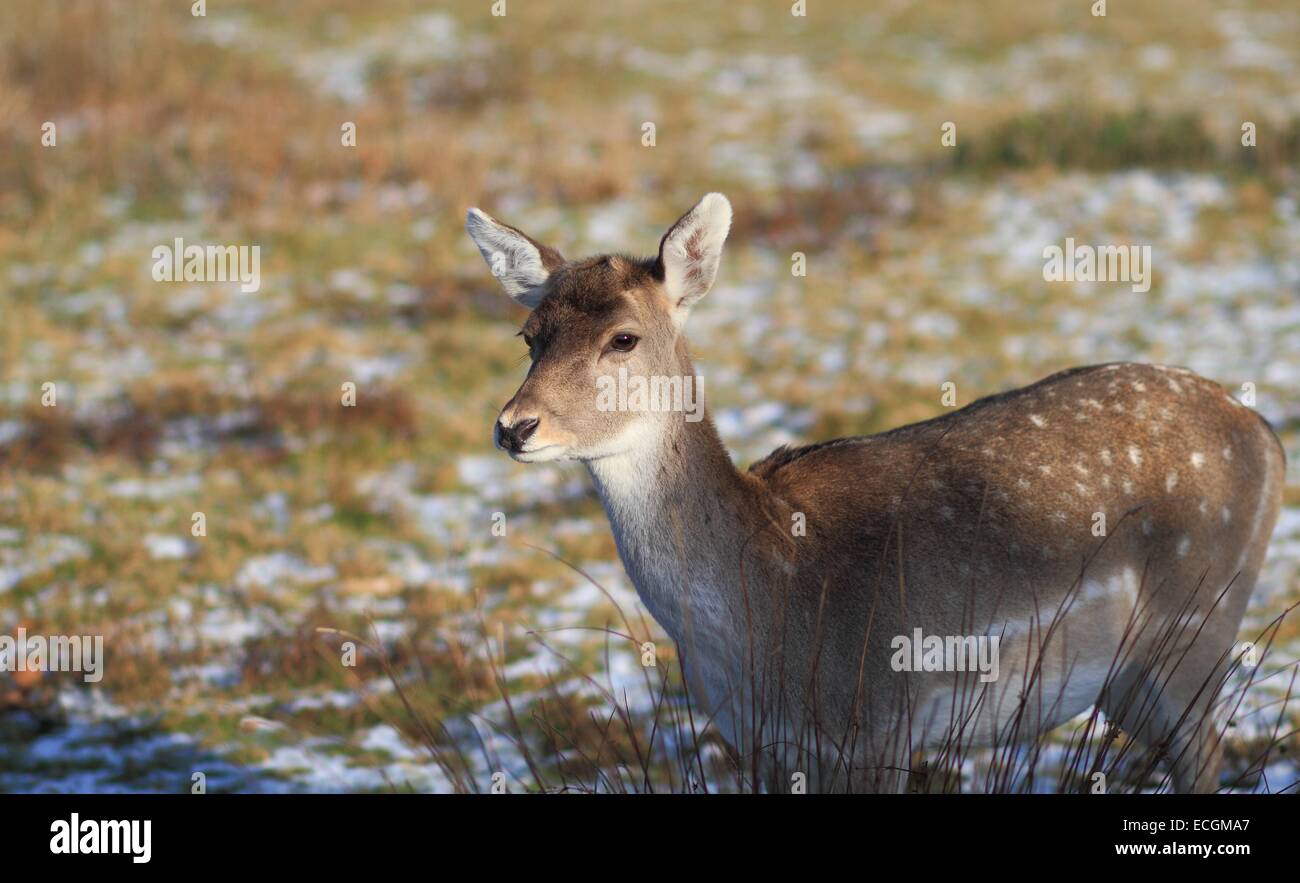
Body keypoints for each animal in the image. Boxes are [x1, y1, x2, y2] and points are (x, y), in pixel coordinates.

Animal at [465, 193, 1285, 793]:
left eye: (624, 338)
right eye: (529, 337)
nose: (514, 425)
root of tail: (1269, 437)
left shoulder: (883, 722)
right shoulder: (759, 741)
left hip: (1197, 625)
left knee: (1207, 752)